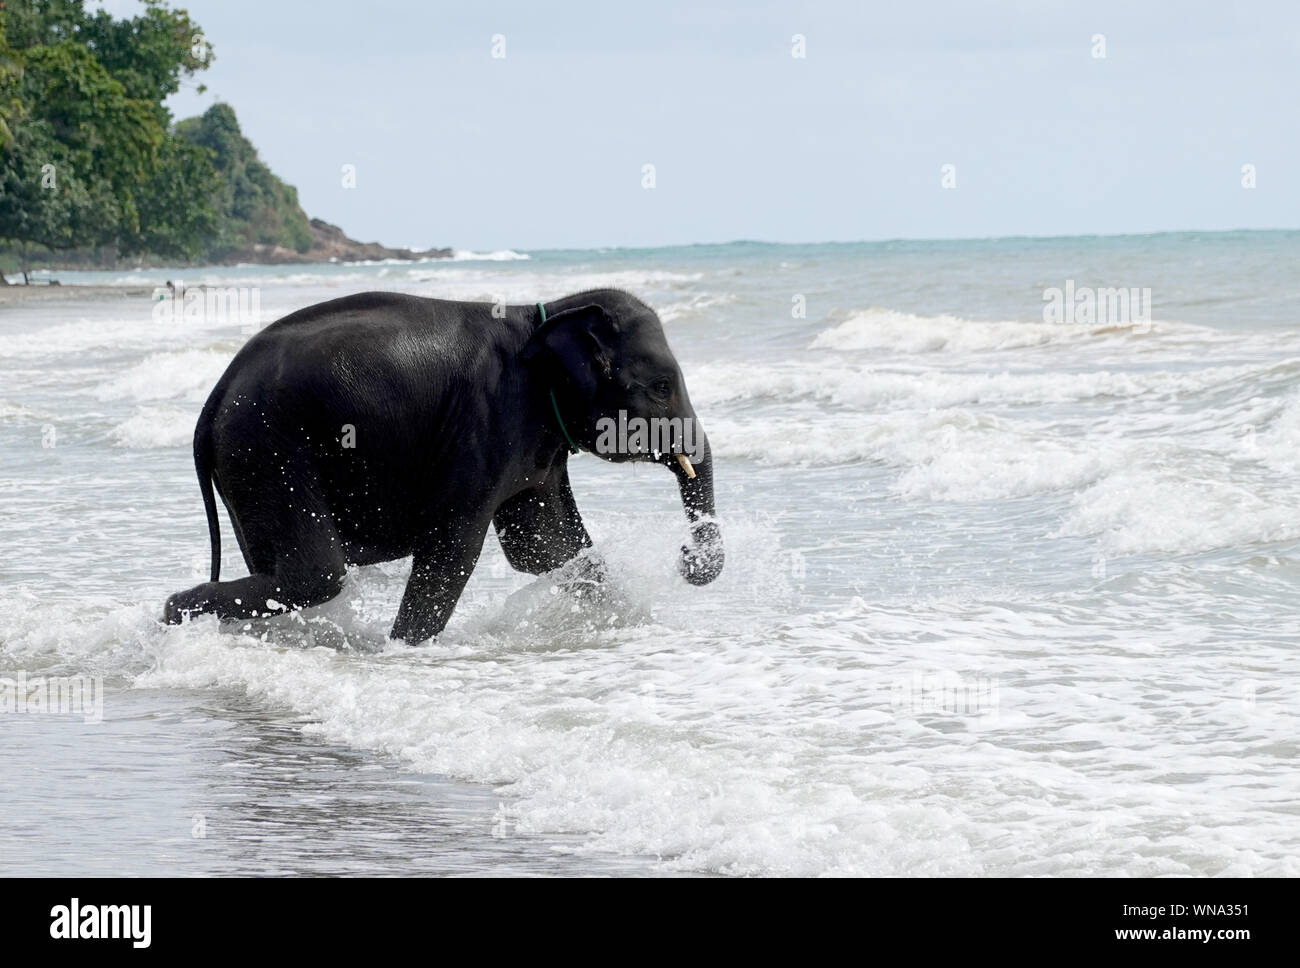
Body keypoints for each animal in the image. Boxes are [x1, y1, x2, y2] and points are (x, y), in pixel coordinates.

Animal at [162, 288, 723, 643]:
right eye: (662, 387)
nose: (684, 557)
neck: (542, 314)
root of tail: (212, 401)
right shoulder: (486, 424)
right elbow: (455, 548)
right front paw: (404, 649)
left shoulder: (539, 445)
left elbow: (549, 547)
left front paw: (636, 623)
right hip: (268, 449)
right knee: (315, 576)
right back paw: (174, 614)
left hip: (251, 463)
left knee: (285, 573)